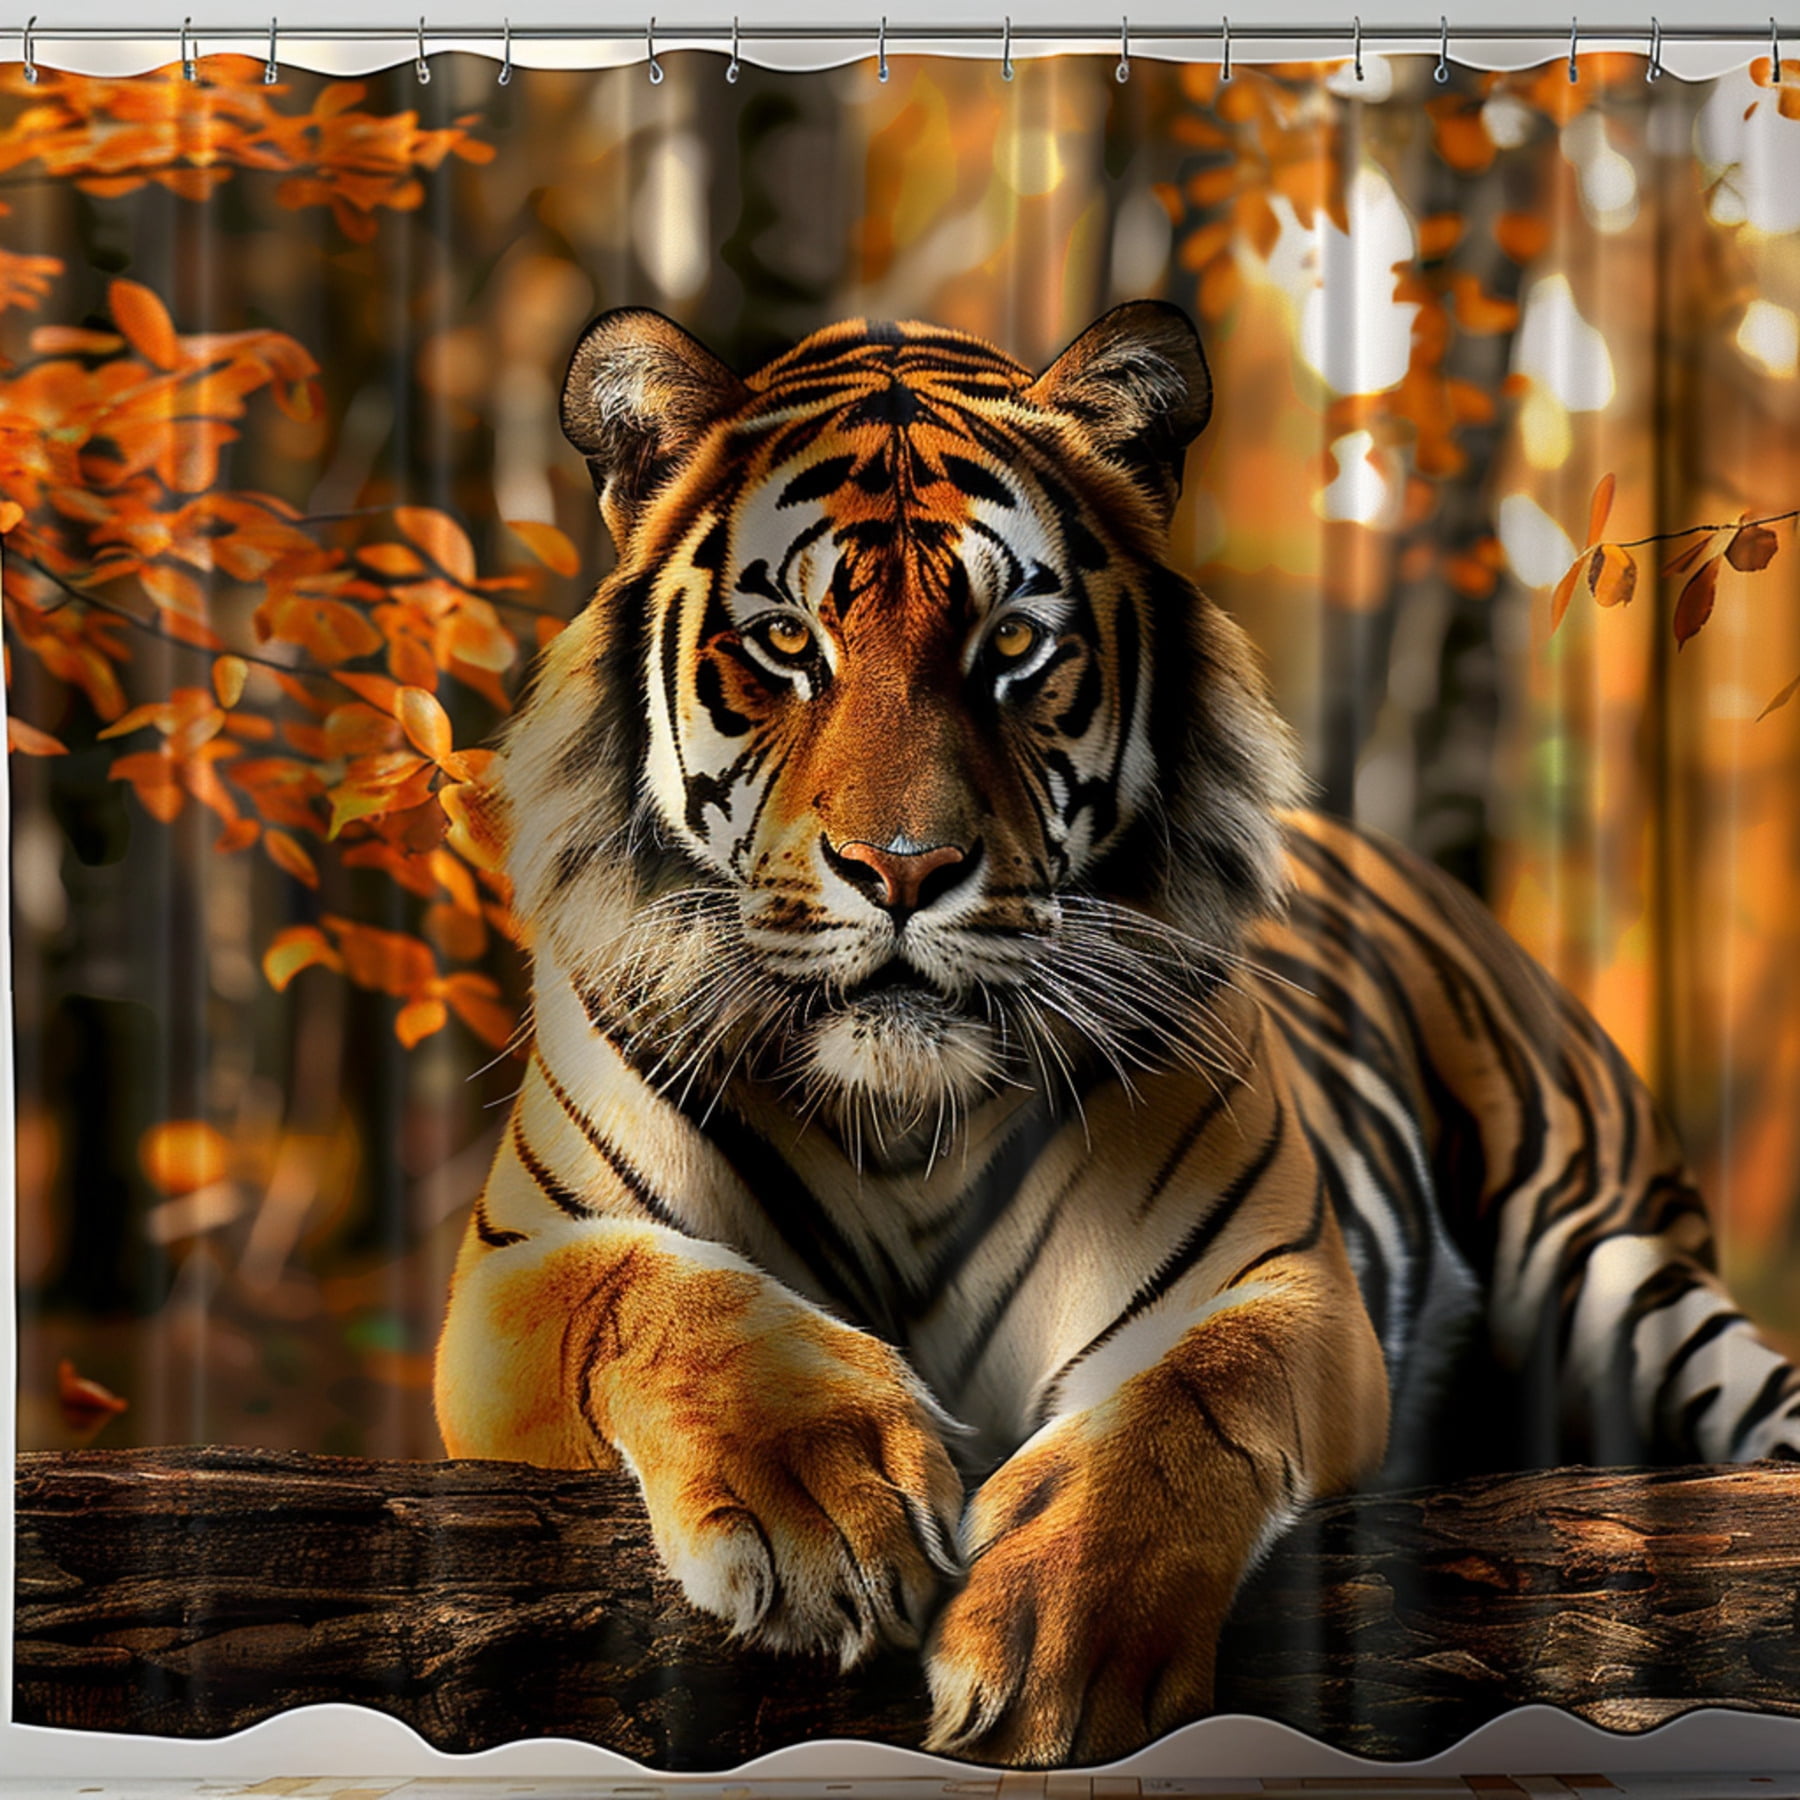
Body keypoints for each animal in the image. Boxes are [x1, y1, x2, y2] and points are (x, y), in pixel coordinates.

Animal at [433, 300, 1800, 1769]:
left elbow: (1186, 1406)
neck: (899, 1116)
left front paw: (1056, 1633)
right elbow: (668, 1301)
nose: (906, 870)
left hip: (1610, 1257)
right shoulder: (517, 1267)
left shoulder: (1273, 1279)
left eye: (1012, 645)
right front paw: (822, 1503)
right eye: (788, 642)